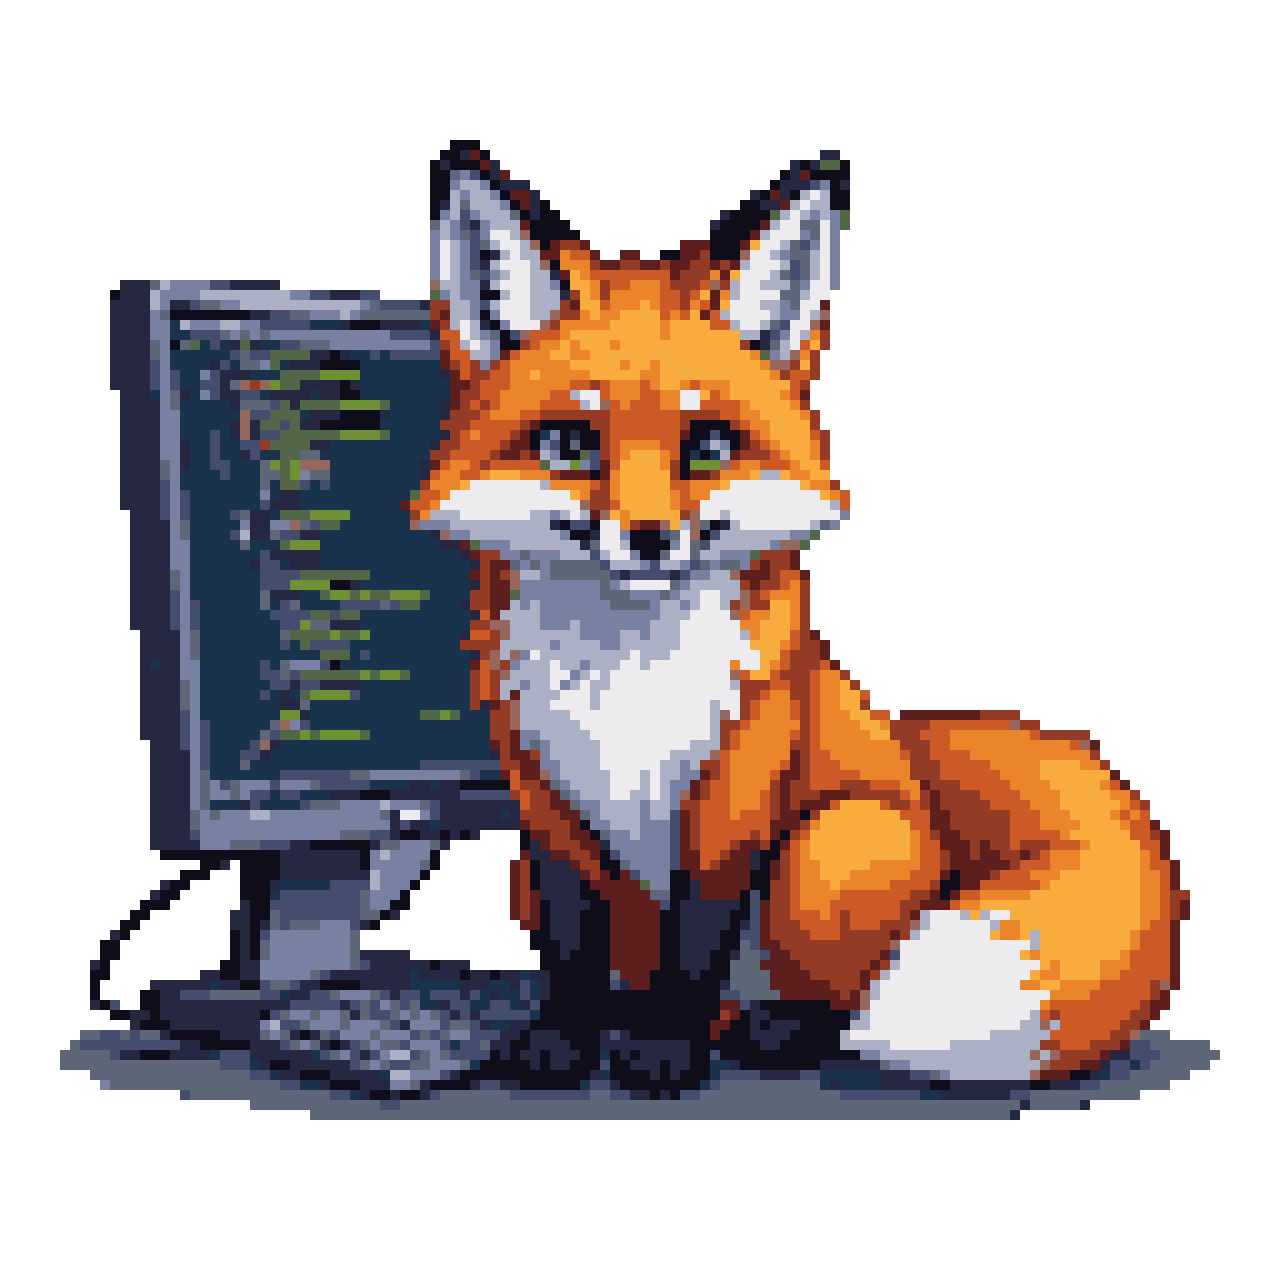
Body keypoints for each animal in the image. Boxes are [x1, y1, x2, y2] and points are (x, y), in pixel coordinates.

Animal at [407, 146, 1187, 1086]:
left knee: (840, 1001)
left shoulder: (734, 804)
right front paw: (562, 1042)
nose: (649, 539)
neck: (625, 680)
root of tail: (913, 764)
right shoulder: (547, 813)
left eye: (707, 446)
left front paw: (668, 1053)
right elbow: (570, 949)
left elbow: (697, 950)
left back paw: (770, 1032)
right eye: (571, 446)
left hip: (834, 851)